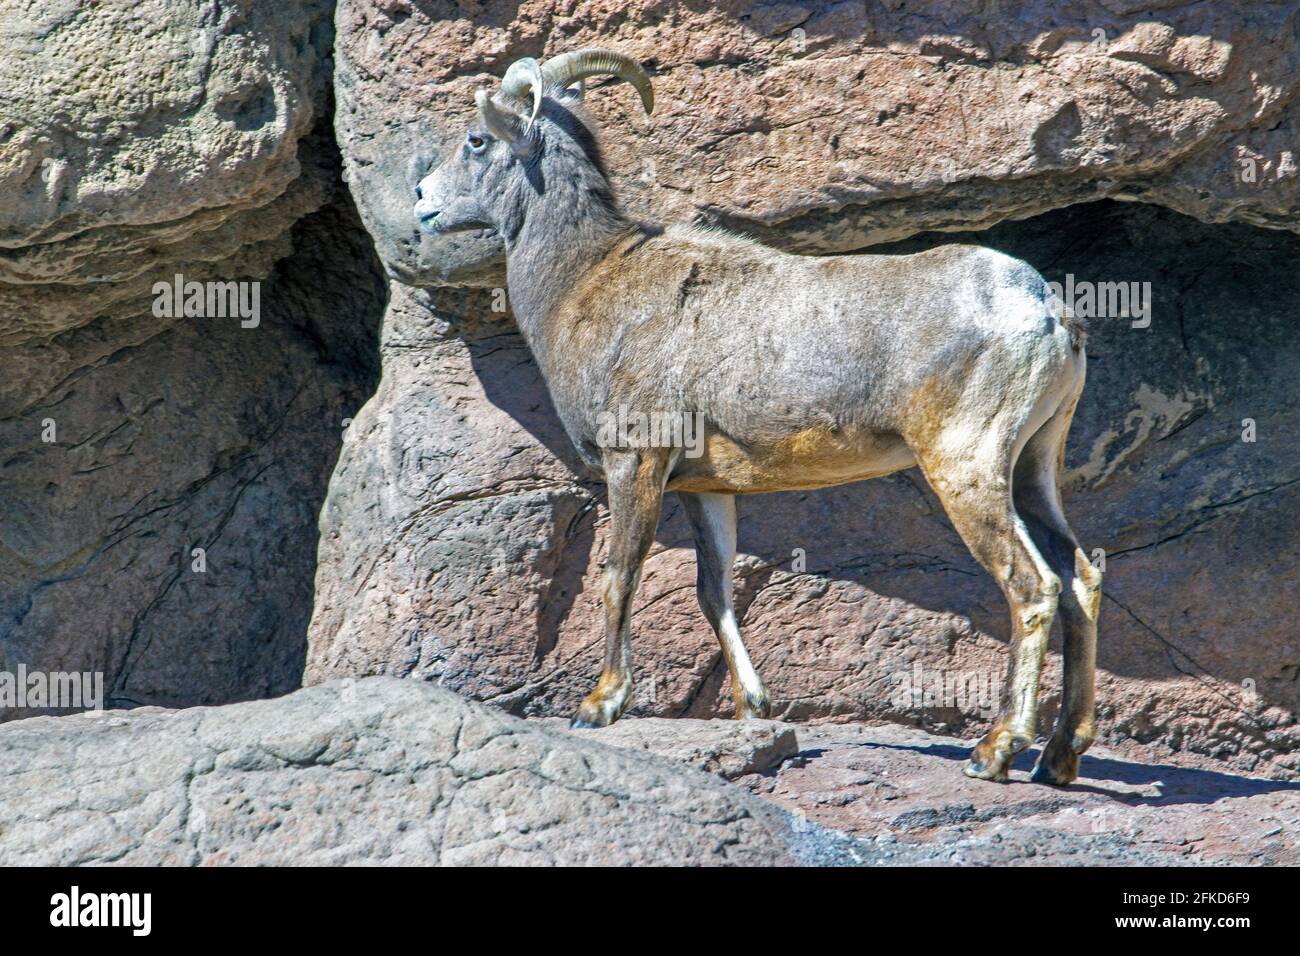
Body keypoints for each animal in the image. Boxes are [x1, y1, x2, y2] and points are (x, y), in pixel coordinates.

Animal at [413, 49, 1102, 785]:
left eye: (476, 139)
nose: (422, 201)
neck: (584, 280)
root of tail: (1047, 311)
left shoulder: (635, 464)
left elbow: (619, 577)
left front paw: (599, 706)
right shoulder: (706, 489)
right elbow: (714, 591)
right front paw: (754, 709)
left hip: (965, 467)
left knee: (1032, 588)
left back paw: (995, 751)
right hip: (1032, 469)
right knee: (1079, 581)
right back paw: (1059, 758)